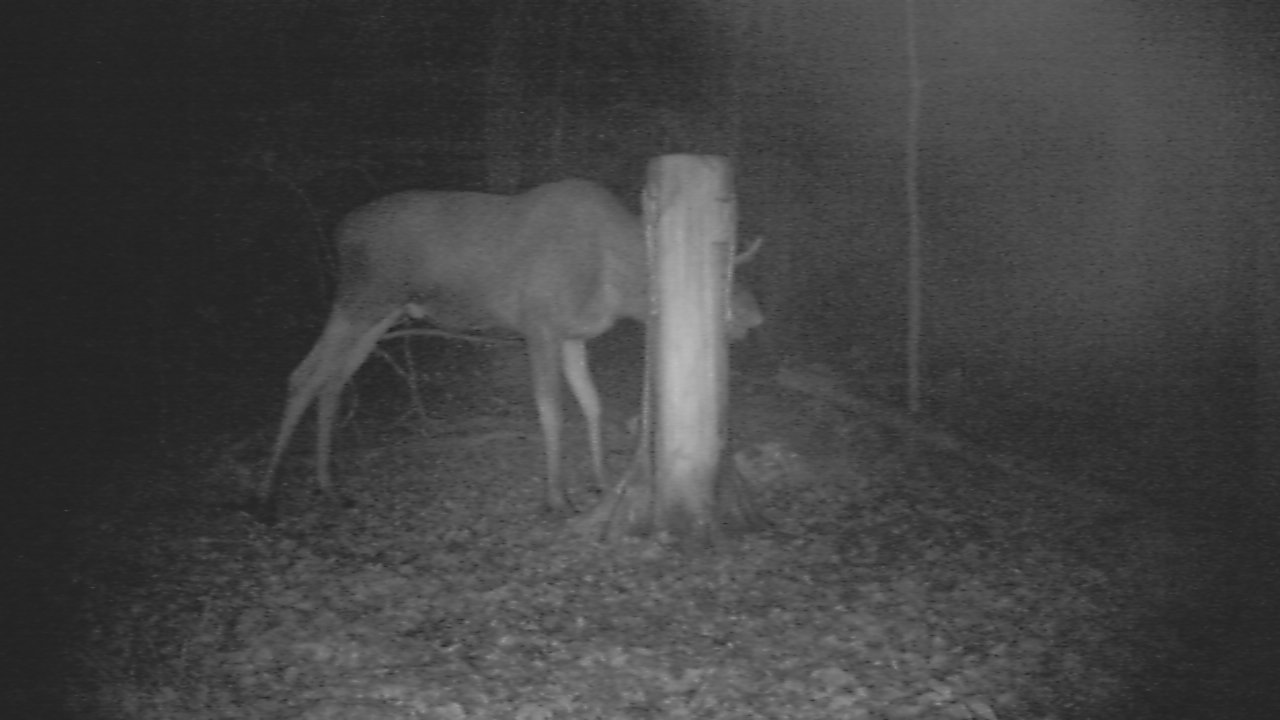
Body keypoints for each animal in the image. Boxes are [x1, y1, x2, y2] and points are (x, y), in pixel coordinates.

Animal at [258, 178, 762, 520]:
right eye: (721, 278)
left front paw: (602, 480)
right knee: (304, 375)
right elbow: (551, 409)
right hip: (360, 300)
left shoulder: (574, 335)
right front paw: (558, 497)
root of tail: (338, 231)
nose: (757, 317)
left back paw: (329, 486)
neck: (619, 287)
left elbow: (593, 404)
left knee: (333, 379)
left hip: (382, 313)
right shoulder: (539, 326)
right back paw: (267, 493)